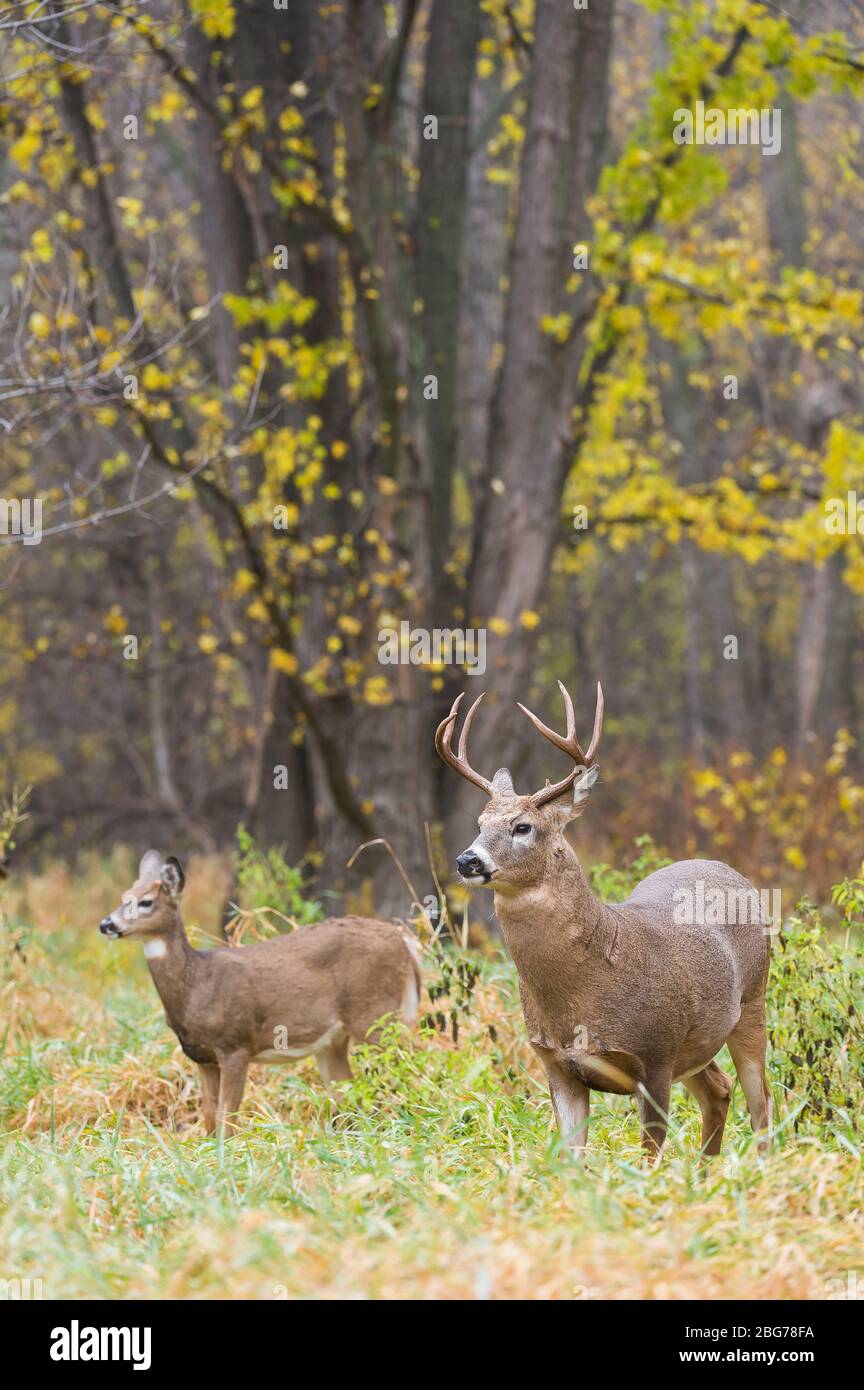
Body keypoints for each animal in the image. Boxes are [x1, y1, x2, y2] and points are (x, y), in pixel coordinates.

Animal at [100, 851, 422, 1136]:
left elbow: (227, 1118)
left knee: (406, 1064)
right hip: (333, 1040)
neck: (196, 987)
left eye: (146, 902)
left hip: (375, 1015)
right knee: (347, 1091)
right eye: (123, 897)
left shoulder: (235, 1045)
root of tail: (404, 941)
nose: (106, 924)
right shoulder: (202, 1057)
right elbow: (209, 1116)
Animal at [436, 683, 772, 1161]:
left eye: (523, 827)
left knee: (761, 1103)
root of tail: (729, 869)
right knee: (719, 1090)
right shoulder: (556, 1065)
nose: (467, 860)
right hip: (698, 1044)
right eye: (480, 823)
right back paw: (703, 1169)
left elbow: (648, 1159)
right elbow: (569, 1160)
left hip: (751, 1001)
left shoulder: (655, 1056)